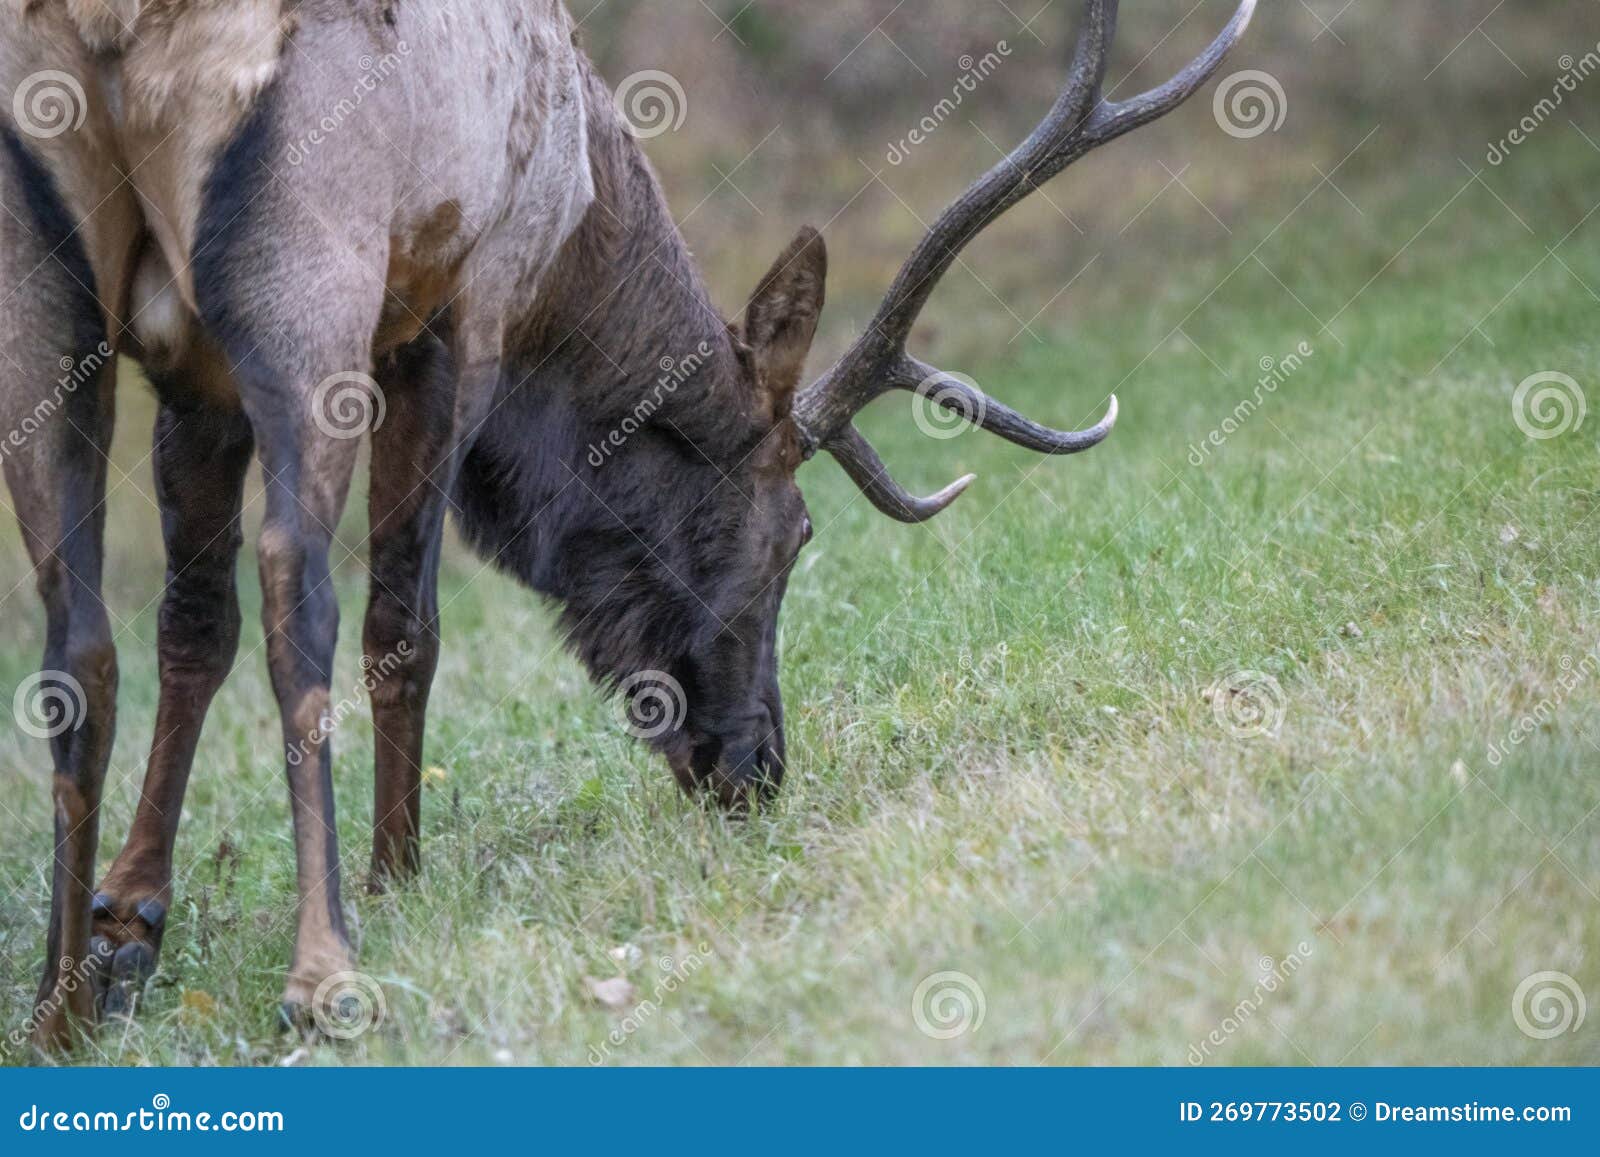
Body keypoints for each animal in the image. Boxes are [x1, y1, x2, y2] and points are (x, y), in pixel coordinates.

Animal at [0, 0, 1255, 1049]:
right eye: (793, 536)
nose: (758, 766)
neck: (582, 217)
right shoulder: (460, 309)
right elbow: (404, 621)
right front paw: (399, 875)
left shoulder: (191, 376)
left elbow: (189, 626)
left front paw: (129, 922)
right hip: (314, 262)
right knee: (293, 579)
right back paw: (324, 973)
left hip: (47, 297)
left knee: (78, 632)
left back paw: (55, 1010)